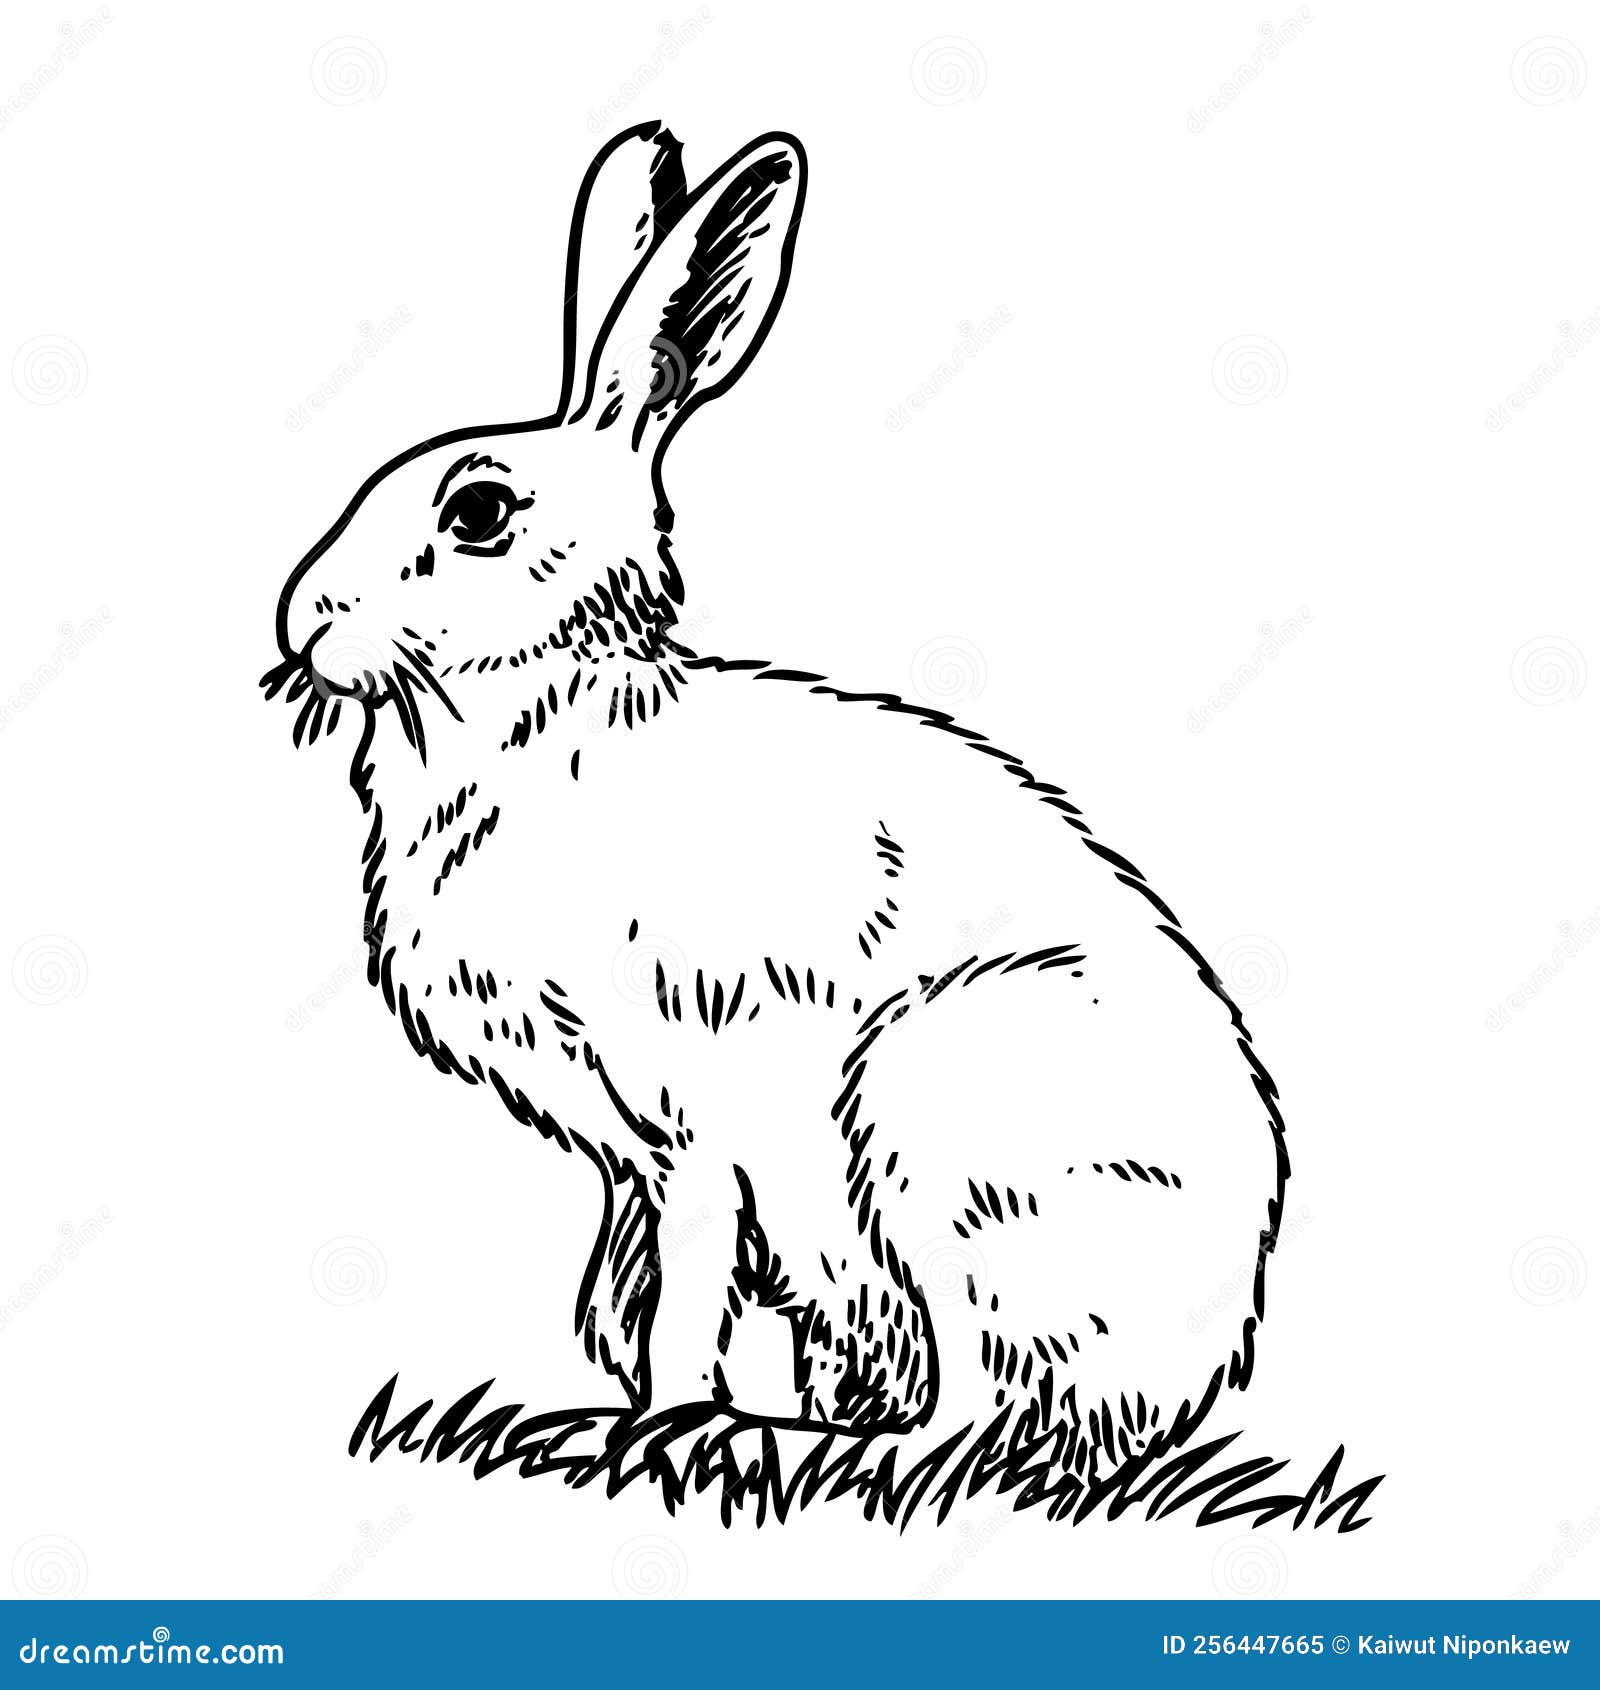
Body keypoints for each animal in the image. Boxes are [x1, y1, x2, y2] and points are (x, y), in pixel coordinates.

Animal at [264, 122, 1288, 1490]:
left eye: (478, 510)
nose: (304, 618)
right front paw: (597, 1406)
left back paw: (808, 1446)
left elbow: (687, 1285)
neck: (547, 723)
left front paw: (653, 1427)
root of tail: (1204, 1353)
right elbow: (630, 1281)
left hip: (932, 1129)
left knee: (980, 1415)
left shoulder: (693, 1108)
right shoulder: (629, 1163)